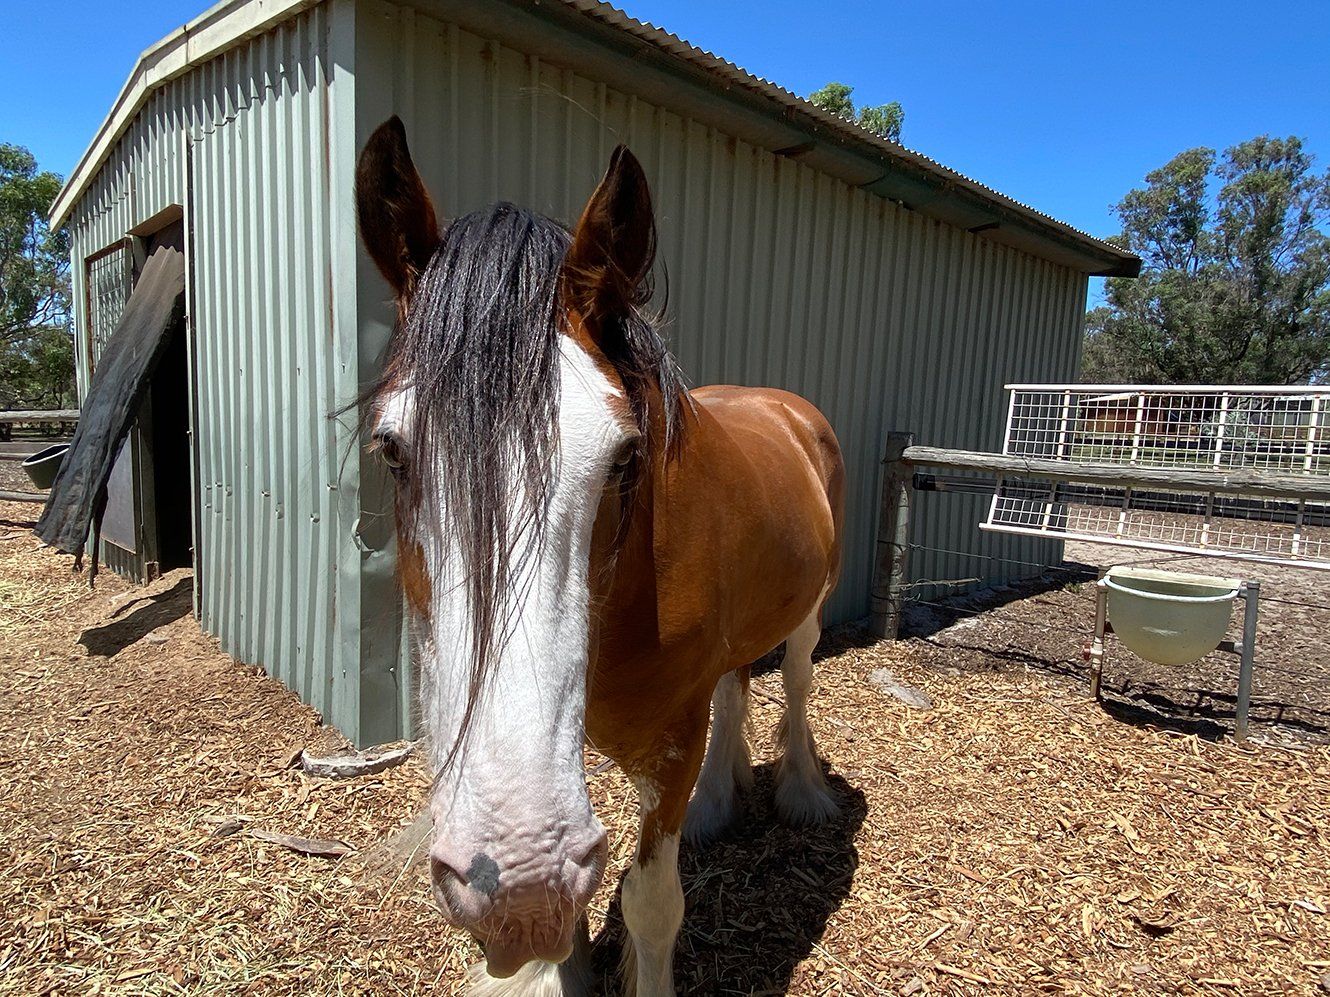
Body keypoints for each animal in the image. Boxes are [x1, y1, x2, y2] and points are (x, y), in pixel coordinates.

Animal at [355, 116, 846, 996]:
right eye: (392, 450)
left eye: (625, 455)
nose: (513, 885)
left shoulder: (672, 746)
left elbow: (652, 904)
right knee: (735, 686)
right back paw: (720, 802)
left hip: (810, 614)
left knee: (792, 683)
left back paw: (799, 792)